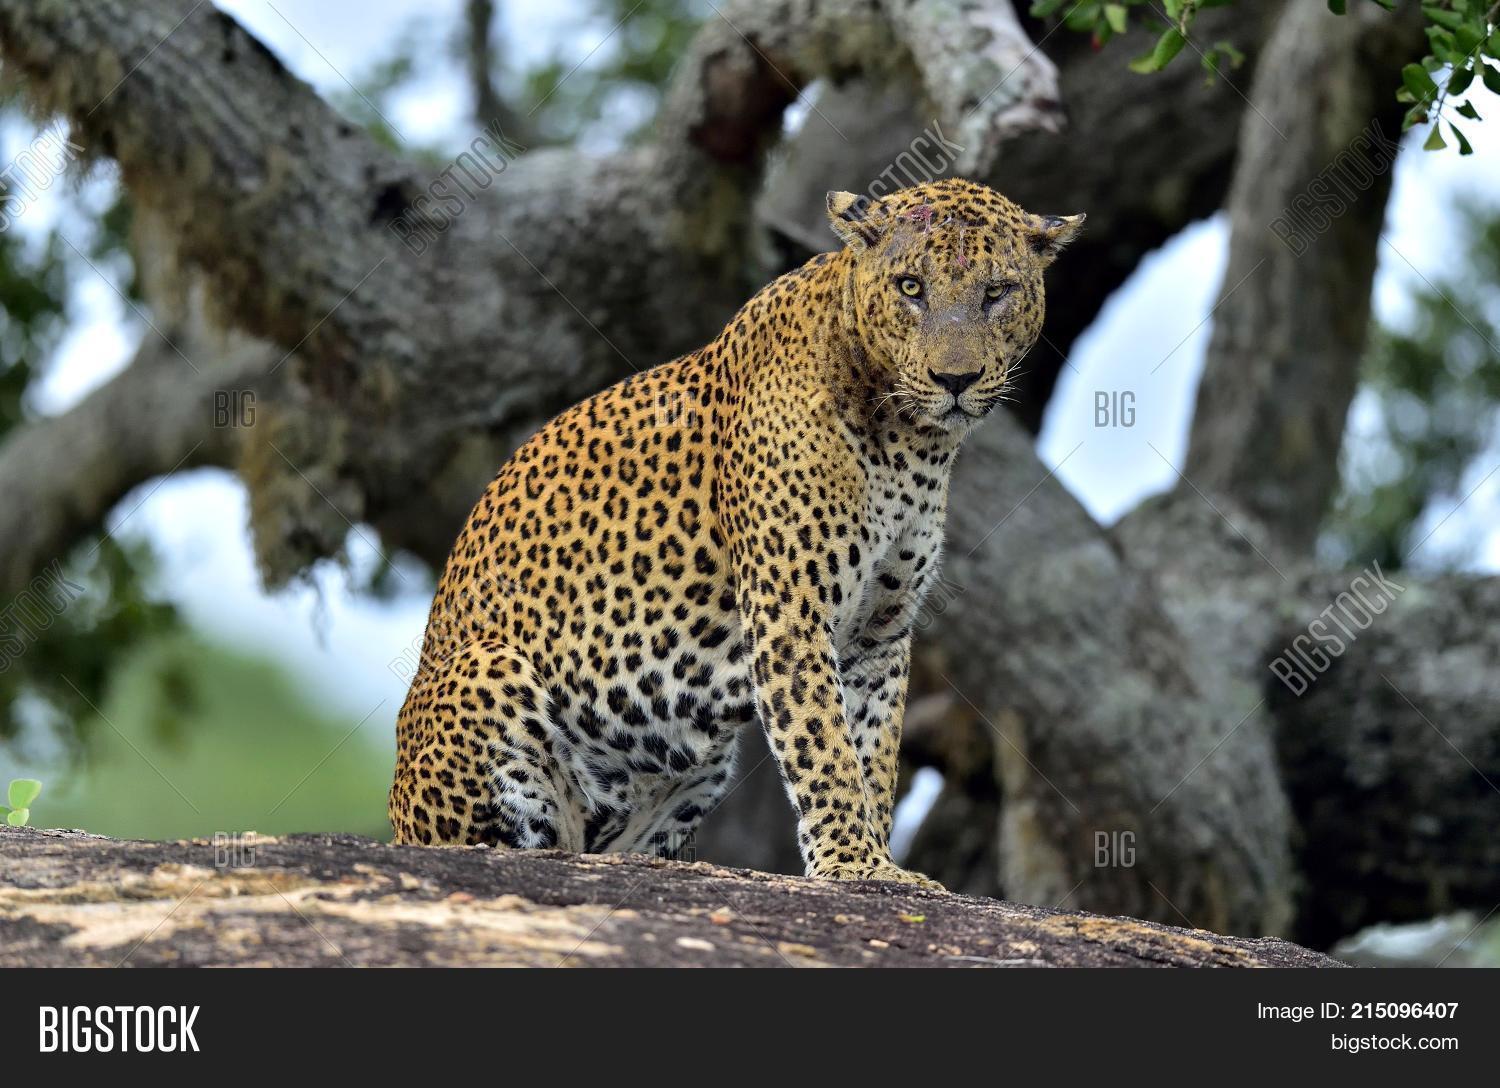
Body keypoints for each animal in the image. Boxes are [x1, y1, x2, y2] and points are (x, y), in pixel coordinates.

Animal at [389, 177, 1083, 887]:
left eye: (996, 292)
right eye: (911, 287)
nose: (955, 380)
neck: (910, 446)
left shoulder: (880, 633)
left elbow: (874, 752)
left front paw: (881, 862)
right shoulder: (790, 610)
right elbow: (824, 747)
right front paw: (855, 864)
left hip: (696, 769)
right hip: (486, 670)